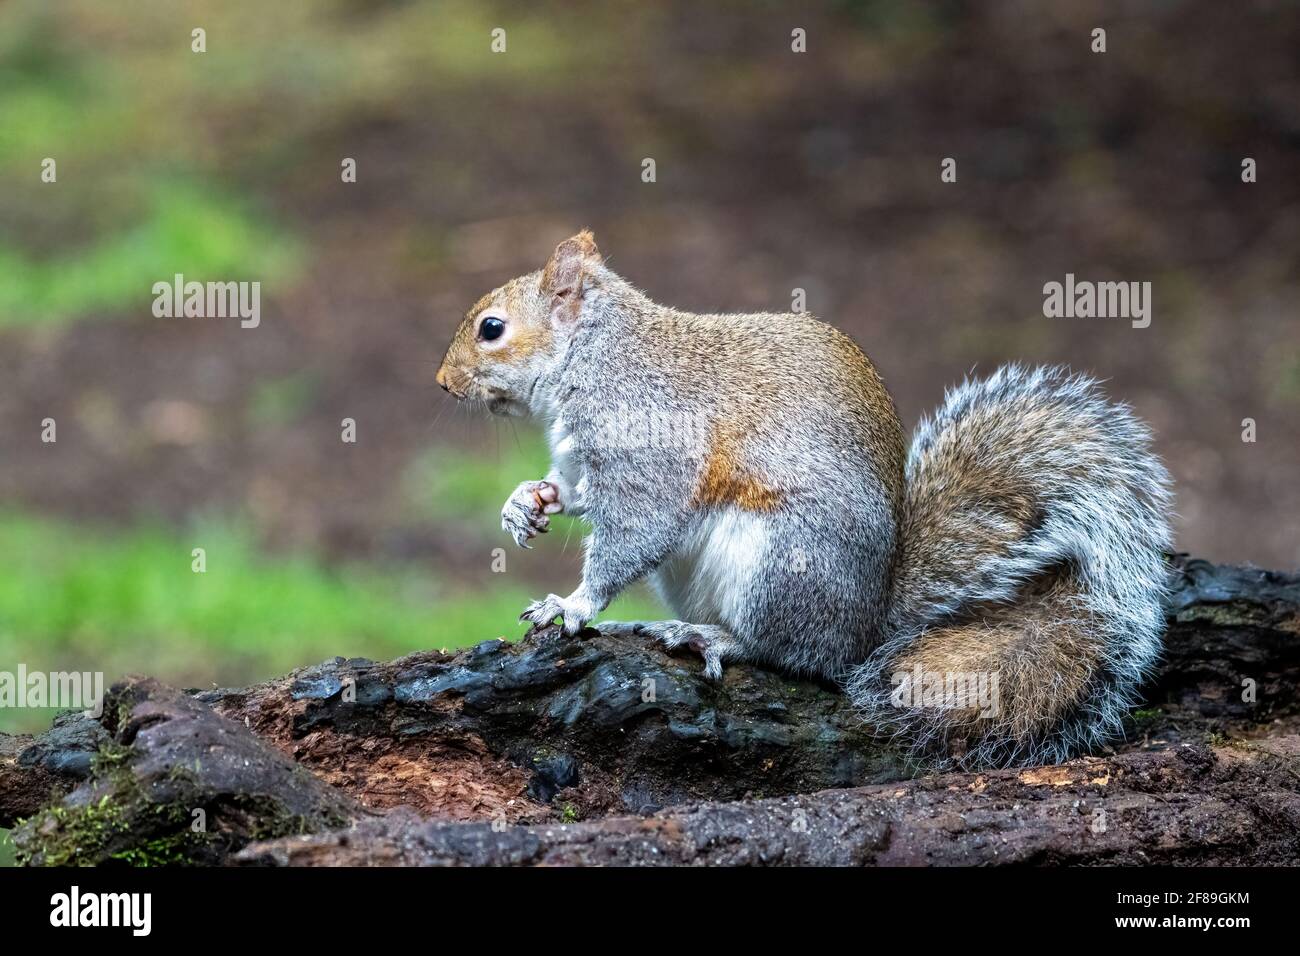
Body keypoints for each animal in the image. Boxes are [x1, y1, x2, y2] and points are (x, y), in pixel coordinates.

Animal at [436, 230, 1174, 768]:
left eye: (492, 328)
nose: (442, 383)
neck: (593, 358)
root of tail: (871, 623)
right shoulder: (583, 458)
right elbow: (571, 491)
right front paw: (525, 503)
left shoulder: (650, 445)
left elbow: (636, 528)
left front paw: (573, 604)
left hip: (781, 564)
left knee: (796, 655)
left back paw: (717, 638)